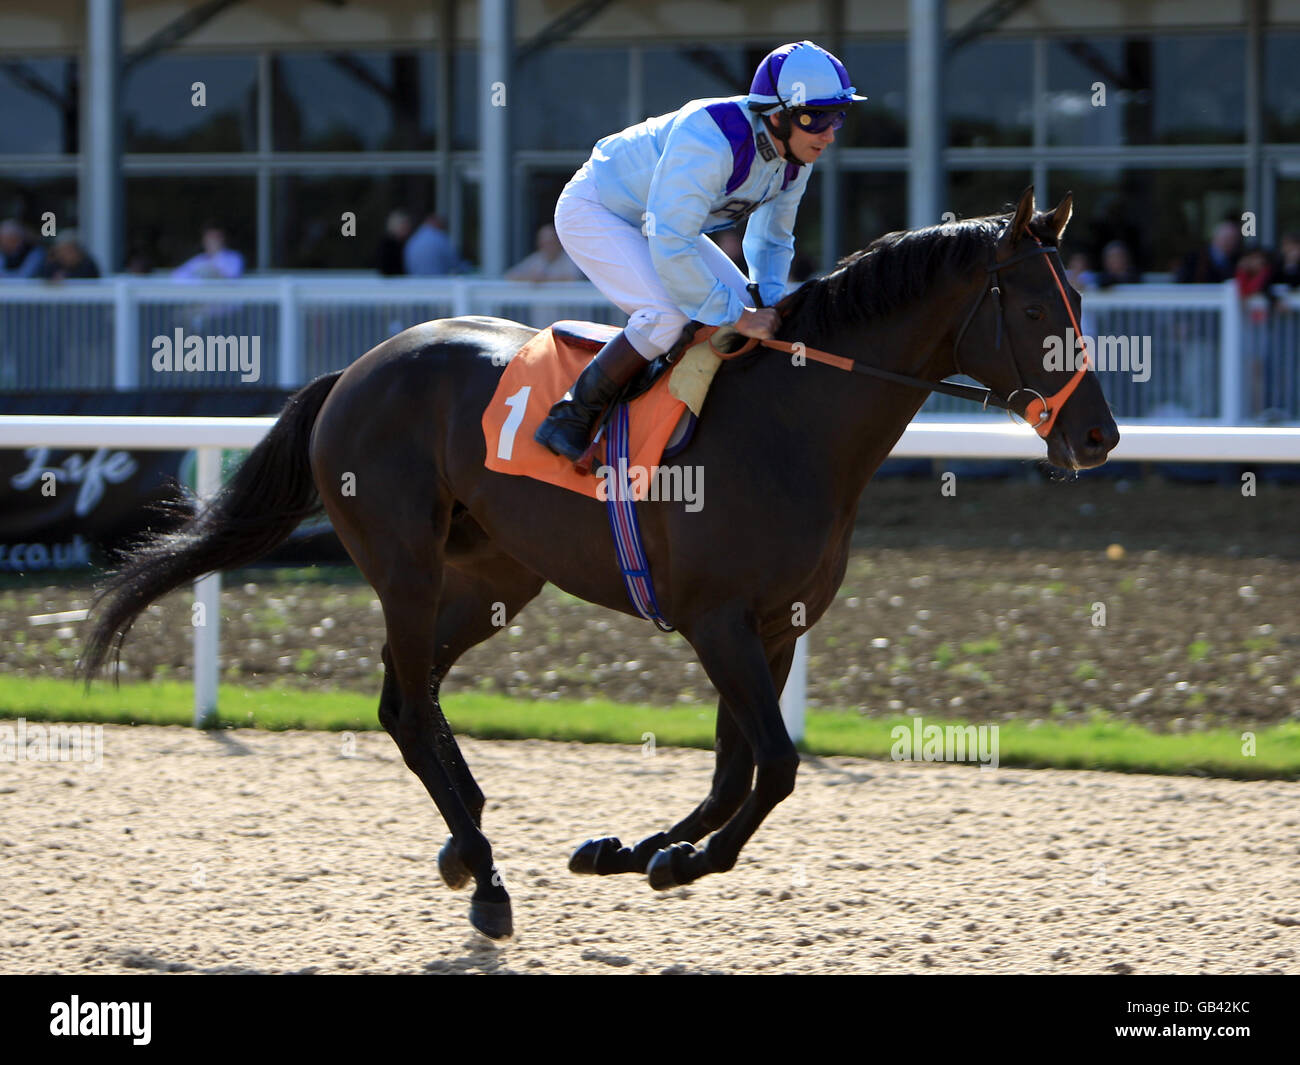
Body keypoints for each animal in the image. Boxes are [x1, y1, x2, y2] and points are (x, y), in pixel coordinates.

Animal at [82, 188, 1119, 941]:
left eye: (1079, 301)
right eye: (1036, 303)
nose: (1099, 436)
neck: (793, 427)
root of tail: (359, 368)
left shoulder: (773, 628)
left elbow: (735, 771)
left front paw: (634, 849)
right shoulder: (715, 621)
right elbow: (776, 767)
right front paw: (682, 859)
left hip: (494, 579)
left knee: (402, 694)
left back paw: (467, 841)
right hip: (405, 563)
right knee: (409, 703)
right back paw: (485, 875)